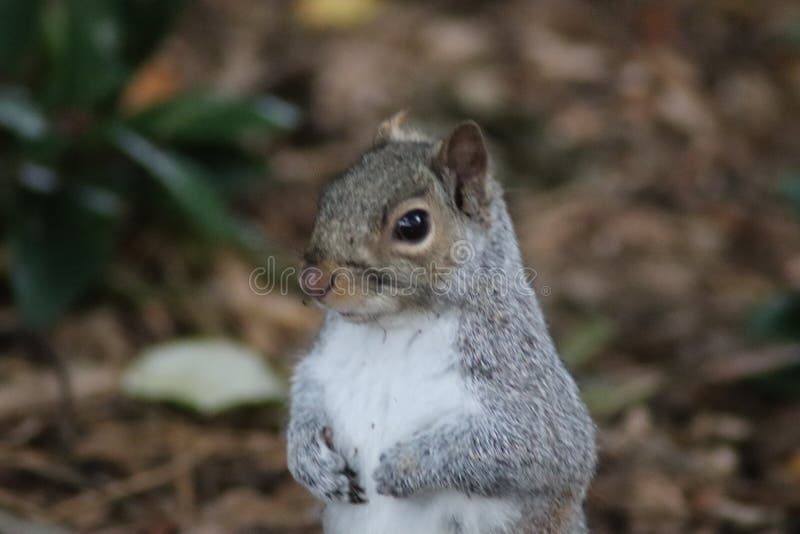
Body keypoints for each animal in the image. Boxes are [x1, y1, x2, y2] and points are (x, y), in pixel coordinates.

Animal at [286, 114, 597, 534]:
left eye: (413, 225)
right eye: (329, 195)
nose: (313, 281)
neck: (393, 330)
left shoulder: (522, 384)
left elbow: (537, 447)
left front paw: (405, 466)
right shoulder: (324, 363)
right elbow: (306, 387)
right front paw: (307, 459)